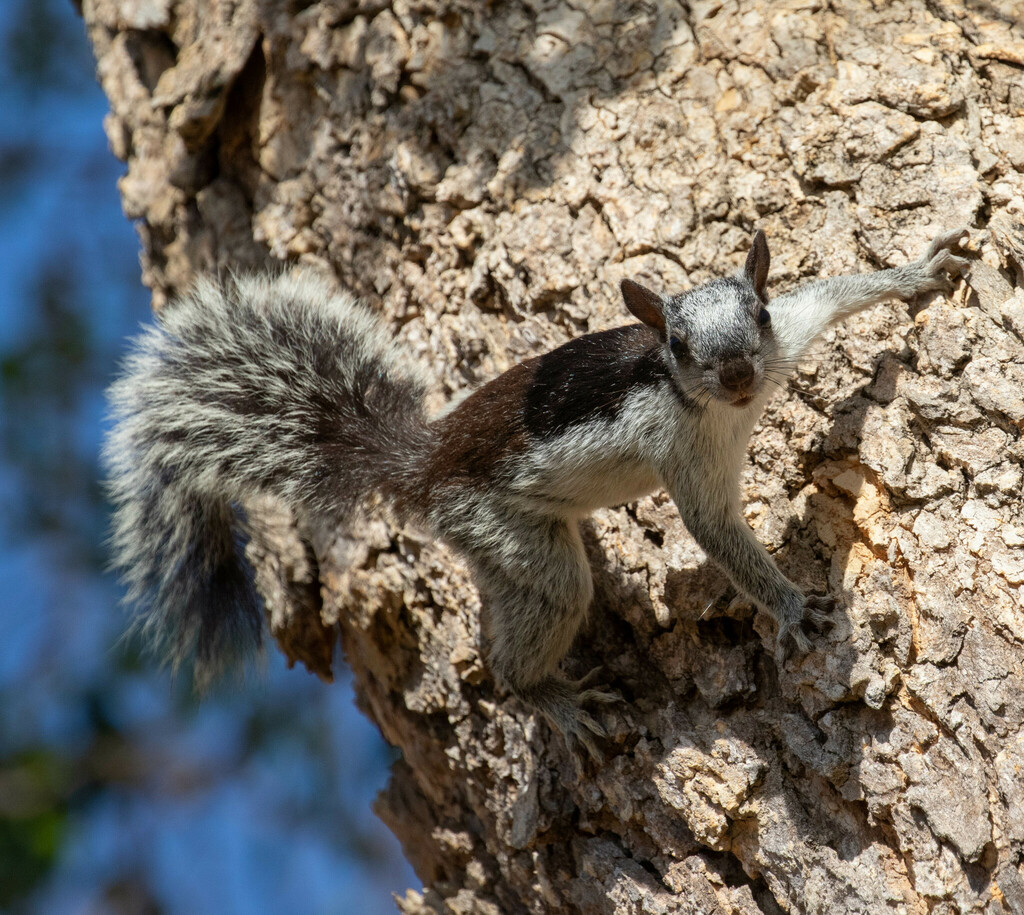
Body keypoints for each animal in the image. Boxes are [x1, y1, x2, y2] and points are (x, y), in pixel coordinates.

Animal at [105, 228, 970, 760]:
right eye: (677, 343)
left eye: (756, 311)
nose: (737, 374)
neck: (722, 409)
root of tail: (422, 469)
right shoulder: (681, 453)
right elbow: (717, 533)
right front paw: (790, 606)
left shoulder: (793, 327)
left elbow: (844, 291)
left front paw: (924, 271)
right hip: (508, 538)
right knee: (524, 633)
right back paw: (554, 700)